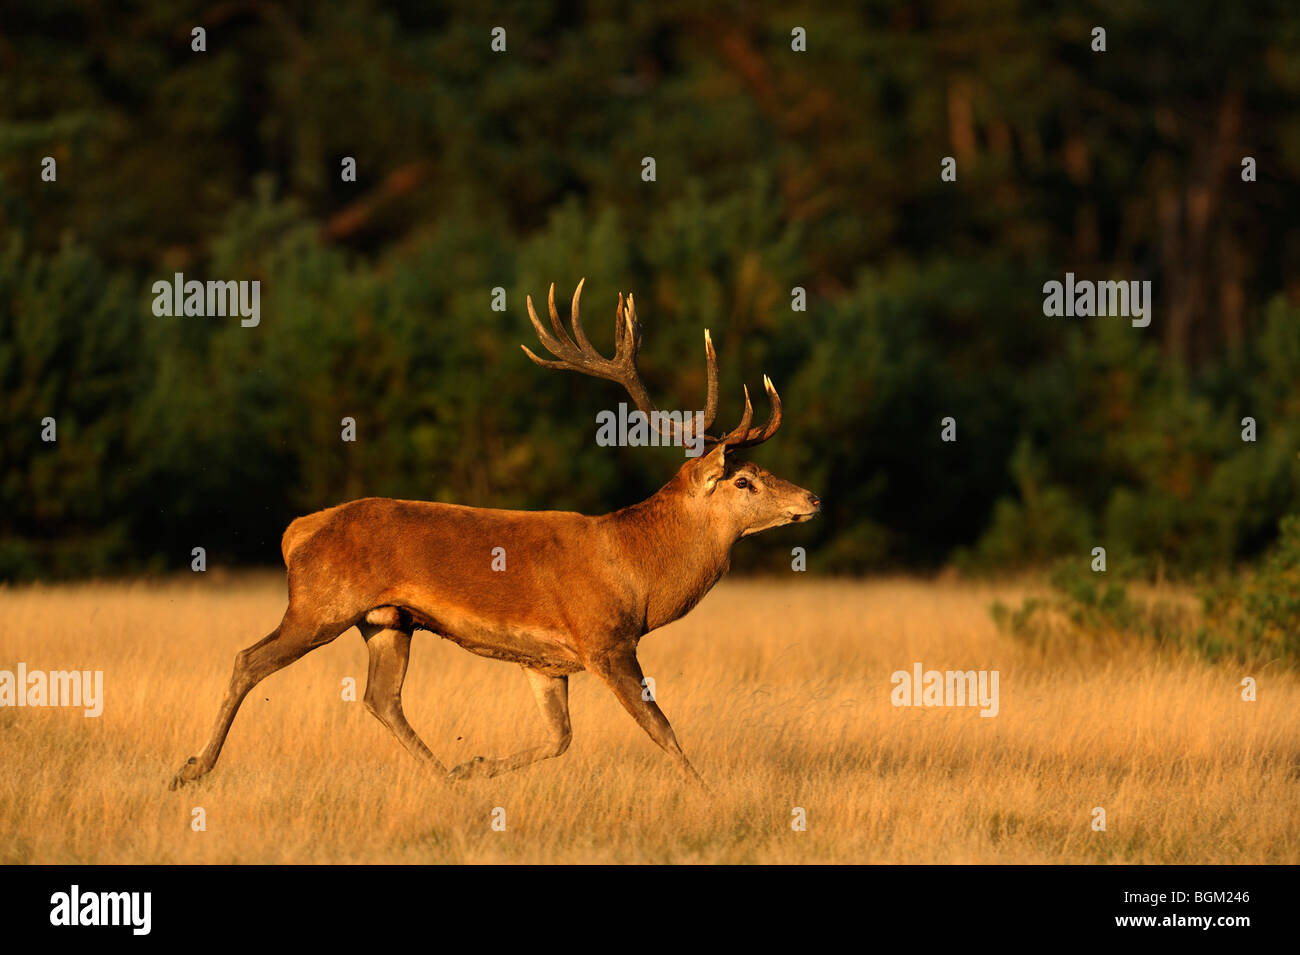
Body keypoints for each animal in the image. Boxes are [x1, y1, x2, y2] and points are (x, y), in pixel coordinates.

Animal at [170, 280, 820, 790]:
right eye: (744, 481)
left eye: (764, 470)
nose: (811, 499)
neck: (638, 573)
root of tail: (296, 531)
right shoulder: (605, 639)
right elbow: (661, 729)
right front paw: (708, 794)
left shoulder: (547, 662)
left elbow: (561, 738)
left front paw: (476, 765)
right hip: (320, 603)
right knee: (249, 660)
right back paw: (192, 768)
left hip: (387, 619)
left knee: (382, 697)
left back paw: (446, 775)